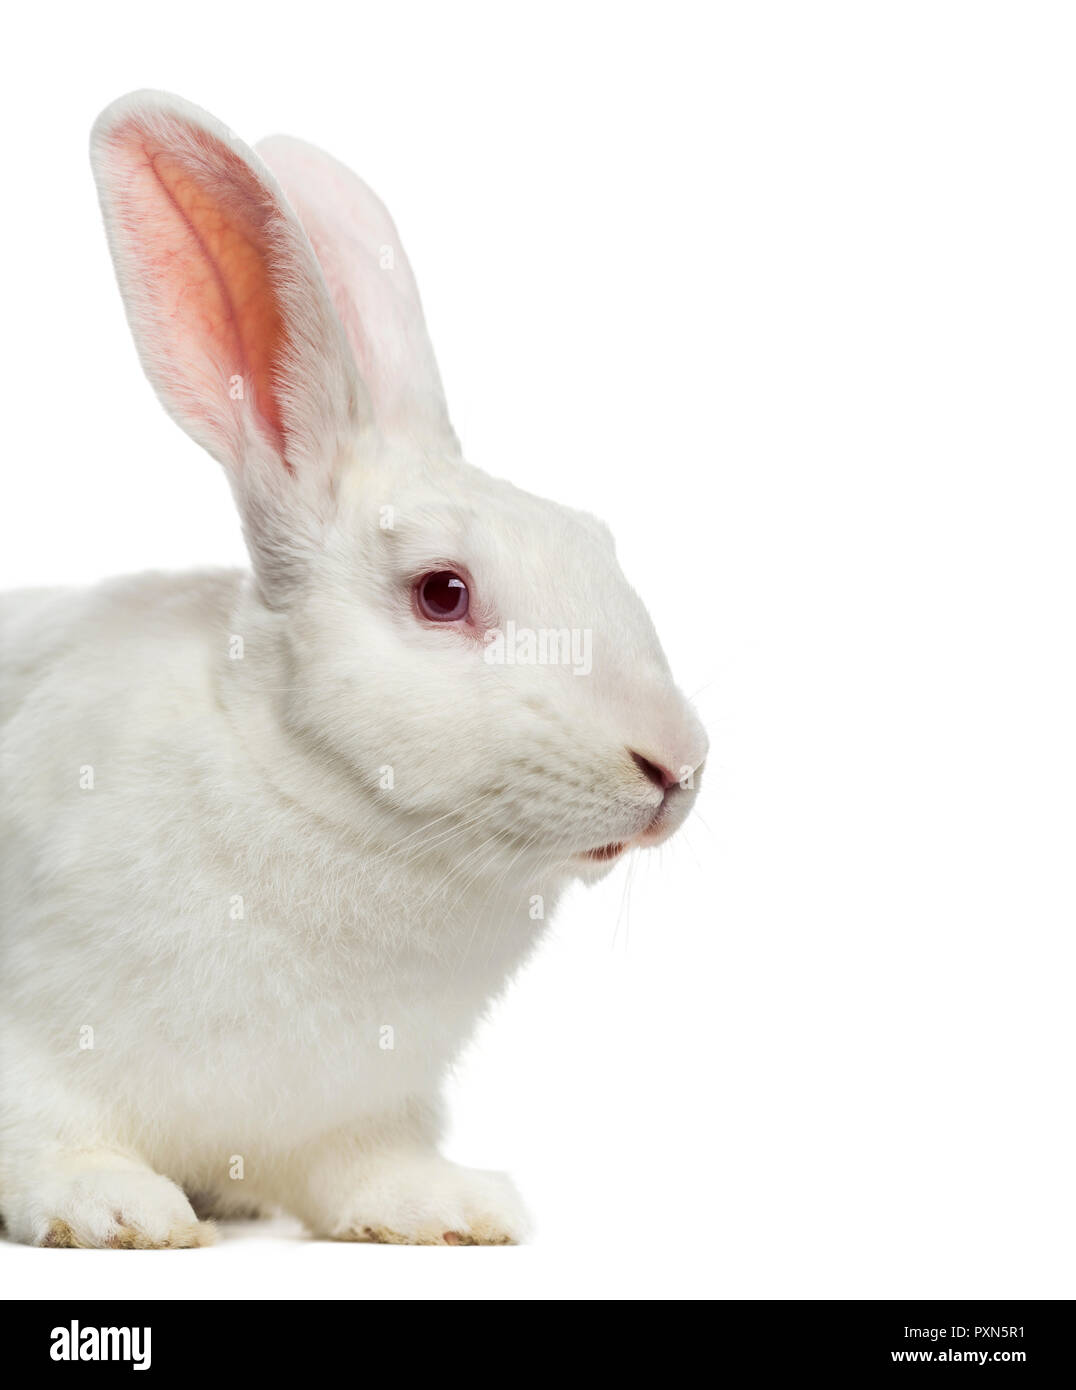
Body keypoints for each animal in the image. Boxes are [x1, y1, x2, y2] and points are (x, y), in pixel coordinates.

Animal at [0, 90, 708, 1248]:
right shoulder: (31, 1042)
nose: (676, 765)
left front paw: (454, 1208)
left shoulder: (356, 1109)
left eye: (600, 542)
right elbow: (51, 1137)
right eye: (441, 592)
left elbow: (364, 1169)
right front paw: (115, 1208)